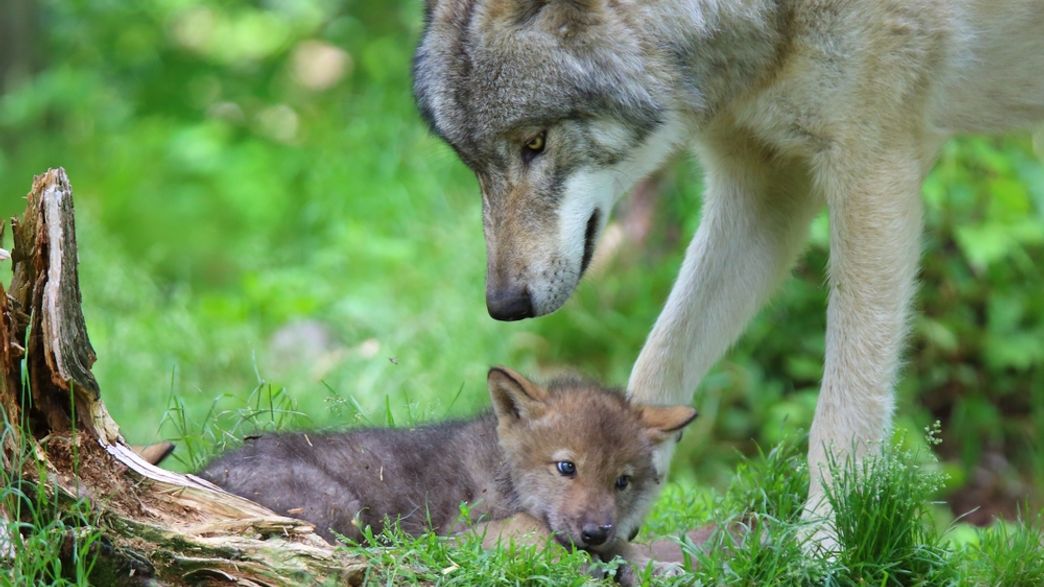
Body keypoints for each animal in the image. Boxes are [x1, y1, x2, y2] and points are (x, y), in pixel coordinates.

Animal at [198, 367, 696, 569]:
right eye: (566, 467)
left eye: (622, 482)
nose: (595, 532)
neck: (504, 472)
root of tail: (205, 473)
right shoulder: (457, 532)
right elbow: (536, 531)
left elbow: (627, 549)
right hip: (341, 512)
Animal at [411, 0, 1044, 528]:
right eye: (472, 164)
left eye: (536, 143)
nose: (504, 305)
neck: (772, 23)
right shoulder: (767, 189)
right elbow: (658, 364)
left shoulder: (874, 167)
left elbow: (845, 408)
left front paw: (823, 546)